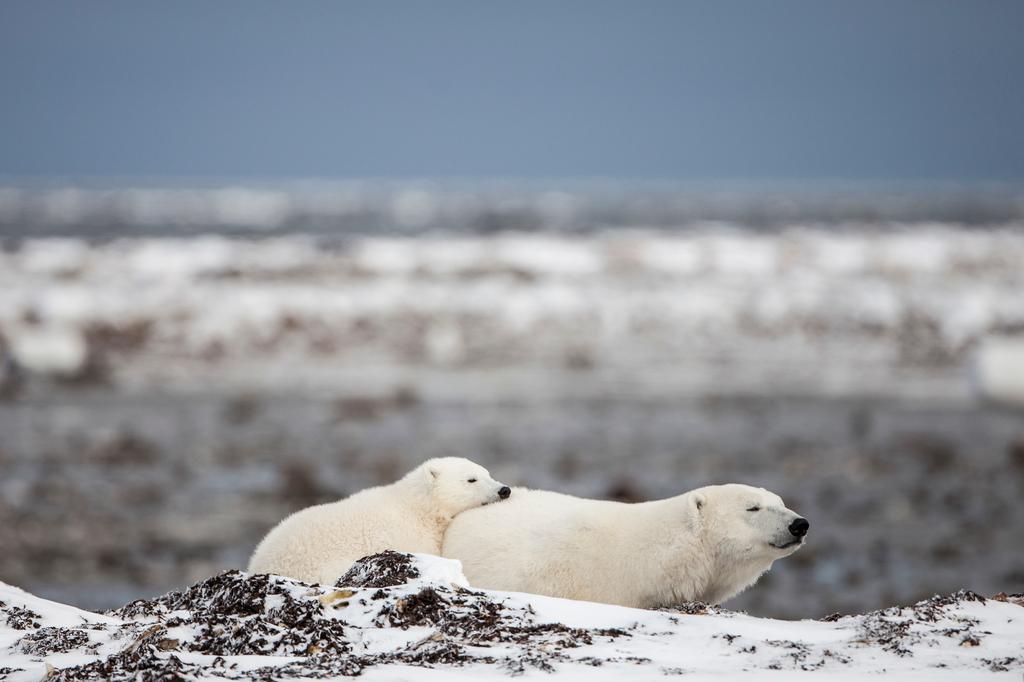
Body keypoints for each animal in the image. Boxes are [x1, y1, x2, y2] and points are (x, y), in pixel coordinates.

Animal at [248, 457, 511, 585]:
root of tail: (258, 562)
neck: (417, 508)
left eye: (488, 473)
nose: (504, 490)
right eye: (471, 479)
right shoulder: (409, 535)